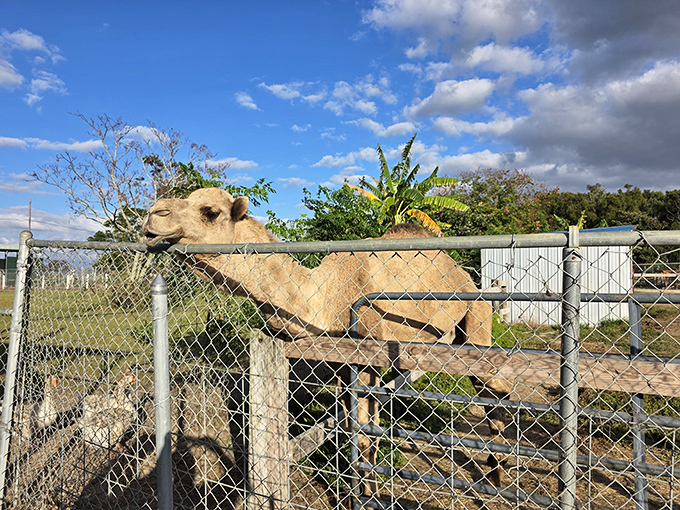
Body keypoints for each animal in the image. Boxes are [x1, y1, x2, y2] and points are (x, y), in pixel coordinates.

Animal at [142, 187, 512, 489]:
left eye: (209, 211)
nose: (153, 214)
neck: (322, 300)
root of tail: (464, 274)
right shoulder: (343, 368)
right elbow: (355, 428)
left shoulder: (366, 358)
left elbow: (364, 435)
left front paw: (368, 494)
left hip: (476, 314)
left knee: (494, 387)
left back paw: (499, 473)